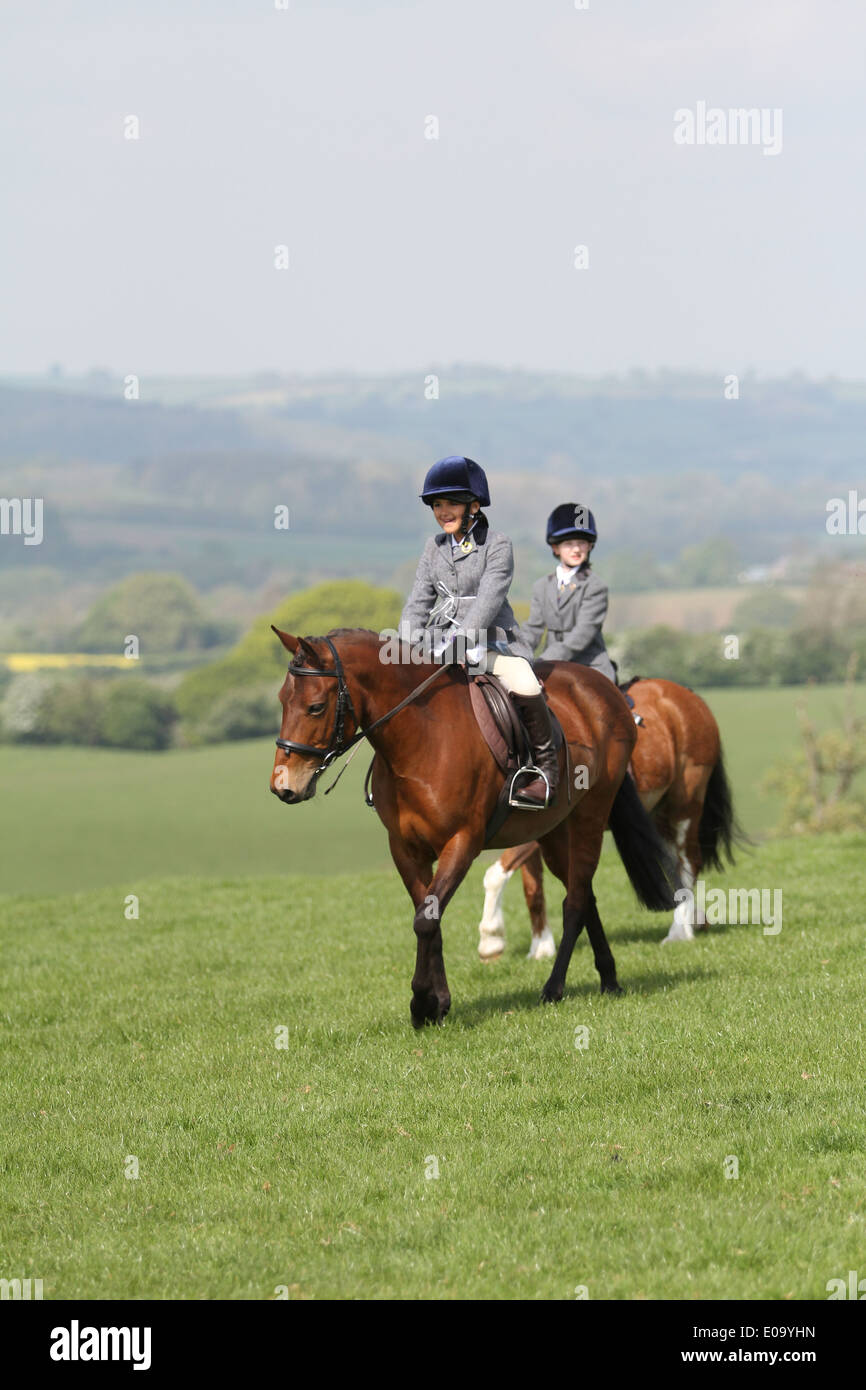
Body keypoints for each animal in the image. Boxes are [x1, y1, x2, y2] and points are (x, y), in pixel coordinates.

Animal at [269, 628, 678, 1026]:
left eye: (316, 707)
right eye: (282, 700)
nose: (282, 786)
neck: (420, 737)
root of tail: (603, 686)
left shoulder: (462, 842)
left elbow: (425, 920)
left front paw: (422, 1004)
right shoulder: (405, 849)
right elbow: (429, 916)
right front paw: (439, 1004)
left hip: (590, 816)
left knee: (576, 901)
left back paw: (554, 988)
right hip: (554, 832)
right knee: (584, 893)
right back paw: (609, 979)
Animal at [477, 677, 742, 960]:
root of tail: (687, 696)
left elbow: (496, 874)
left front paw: (491, 939)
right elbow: (532, 888)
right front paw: (541, 946)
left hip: (685, 804)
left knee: (688, 861)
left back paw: (679, 932)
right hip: (658, 815)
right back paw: (694, 919)